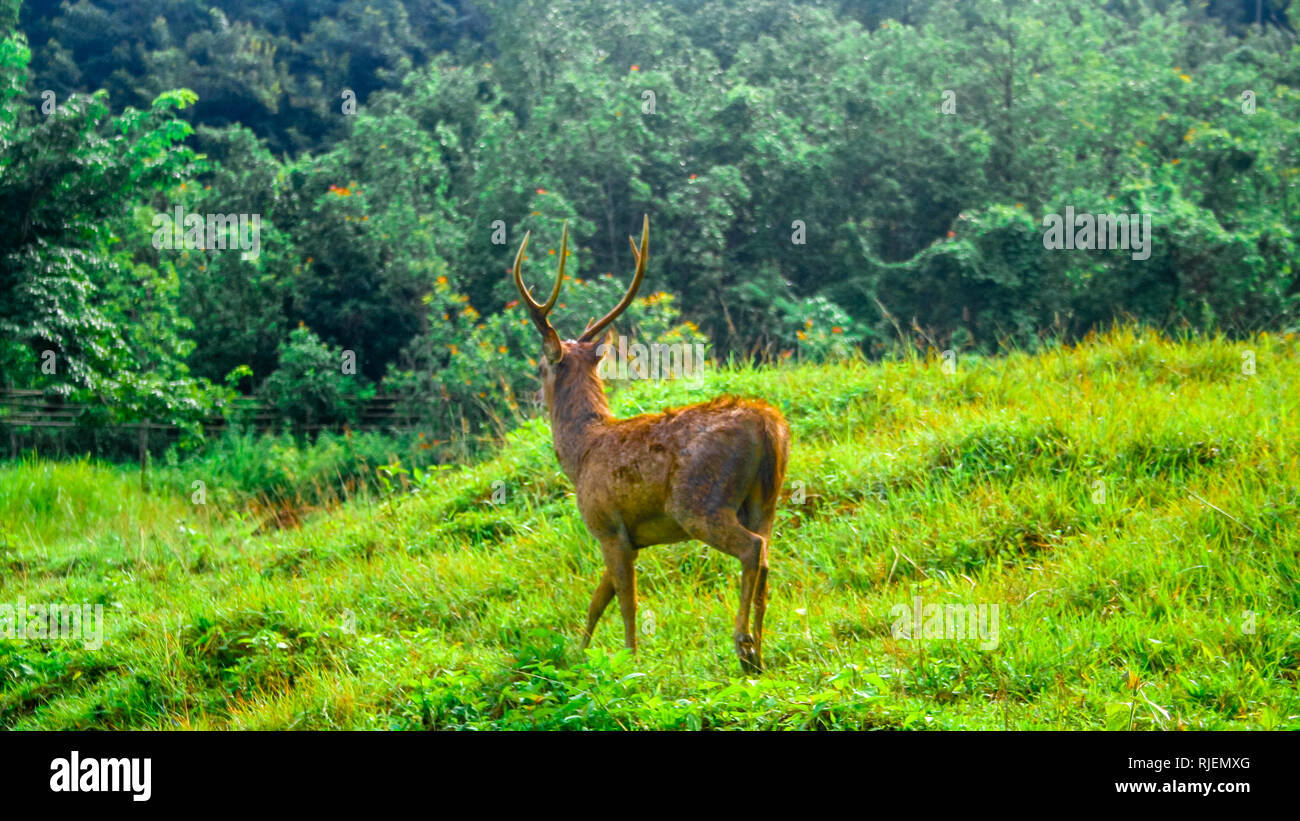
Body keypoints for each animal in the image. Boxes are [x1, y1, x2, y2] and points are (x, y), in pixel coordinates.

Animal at [509, 214, 790, 673]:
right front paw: (579, 655)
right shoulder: (628, 537)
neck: (581, 455)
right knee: (766, 553)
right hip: (766, 499)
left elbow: (626, 601)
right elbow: (597, 599)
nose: (533, 396)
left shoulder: (606, 524)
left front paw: (629, 661)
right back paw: (760, 655)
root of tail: (768, 424)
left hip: (699, 502)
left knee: (751, 549)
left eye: (538, 368)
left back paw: (743, 644)